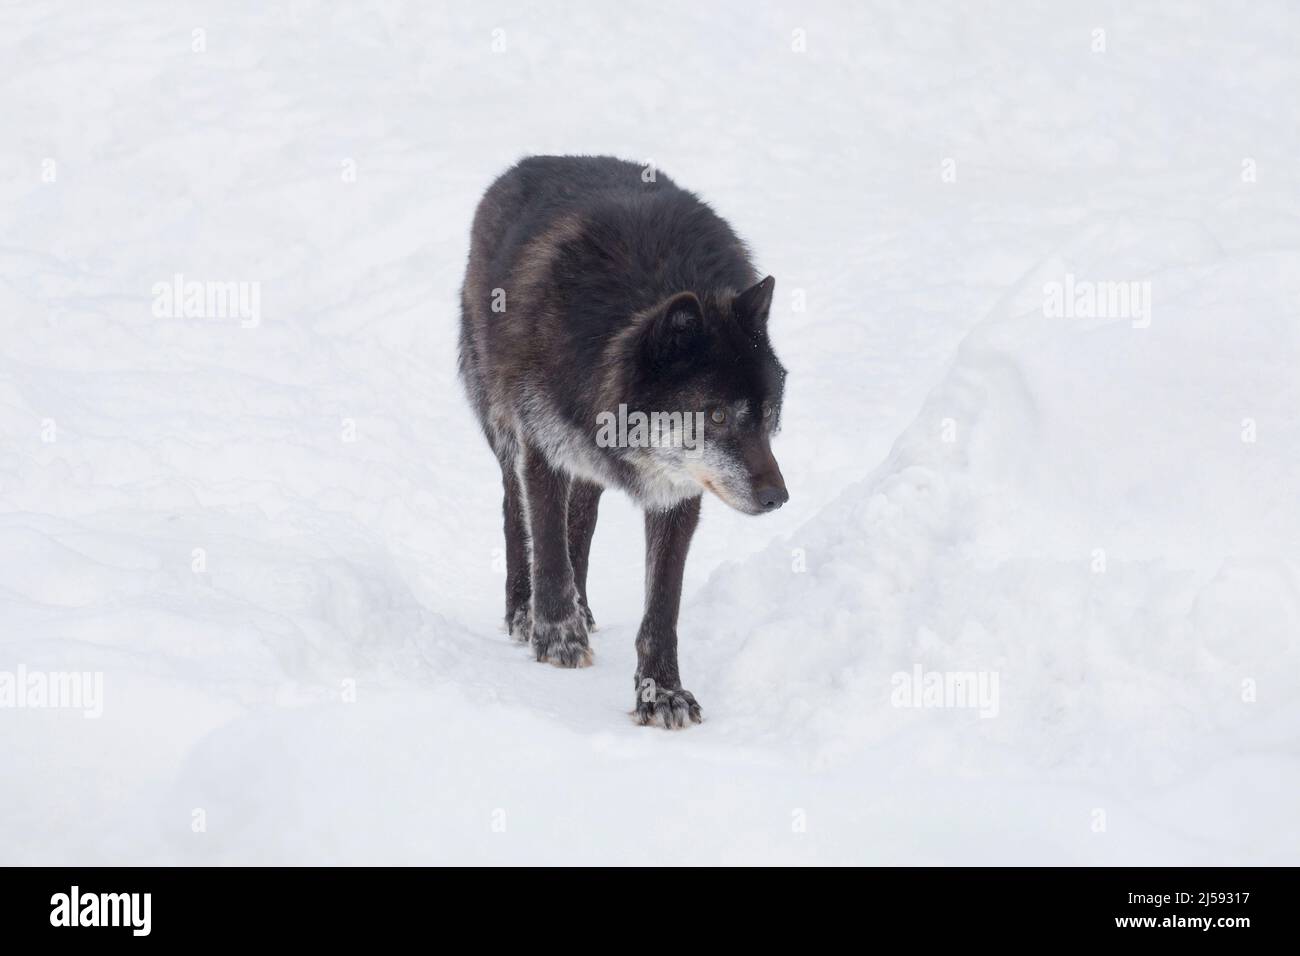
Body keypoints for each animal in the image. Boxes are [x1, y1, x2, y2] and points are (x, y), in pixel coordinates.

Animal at [458, 156, 787, 729]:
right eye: (717, 414)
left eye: (770, 413)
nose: (778, 498)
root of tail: (531, 162)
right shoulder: (541, 445)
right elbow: (547, 545)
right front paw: (557, 638)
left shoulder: (678, 492)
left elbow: (662, 608)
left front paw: (662, 693)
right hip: (504, 427)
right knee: (516, 512)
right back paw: (525, 610)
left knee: (584, 516)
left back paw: (583, 607)